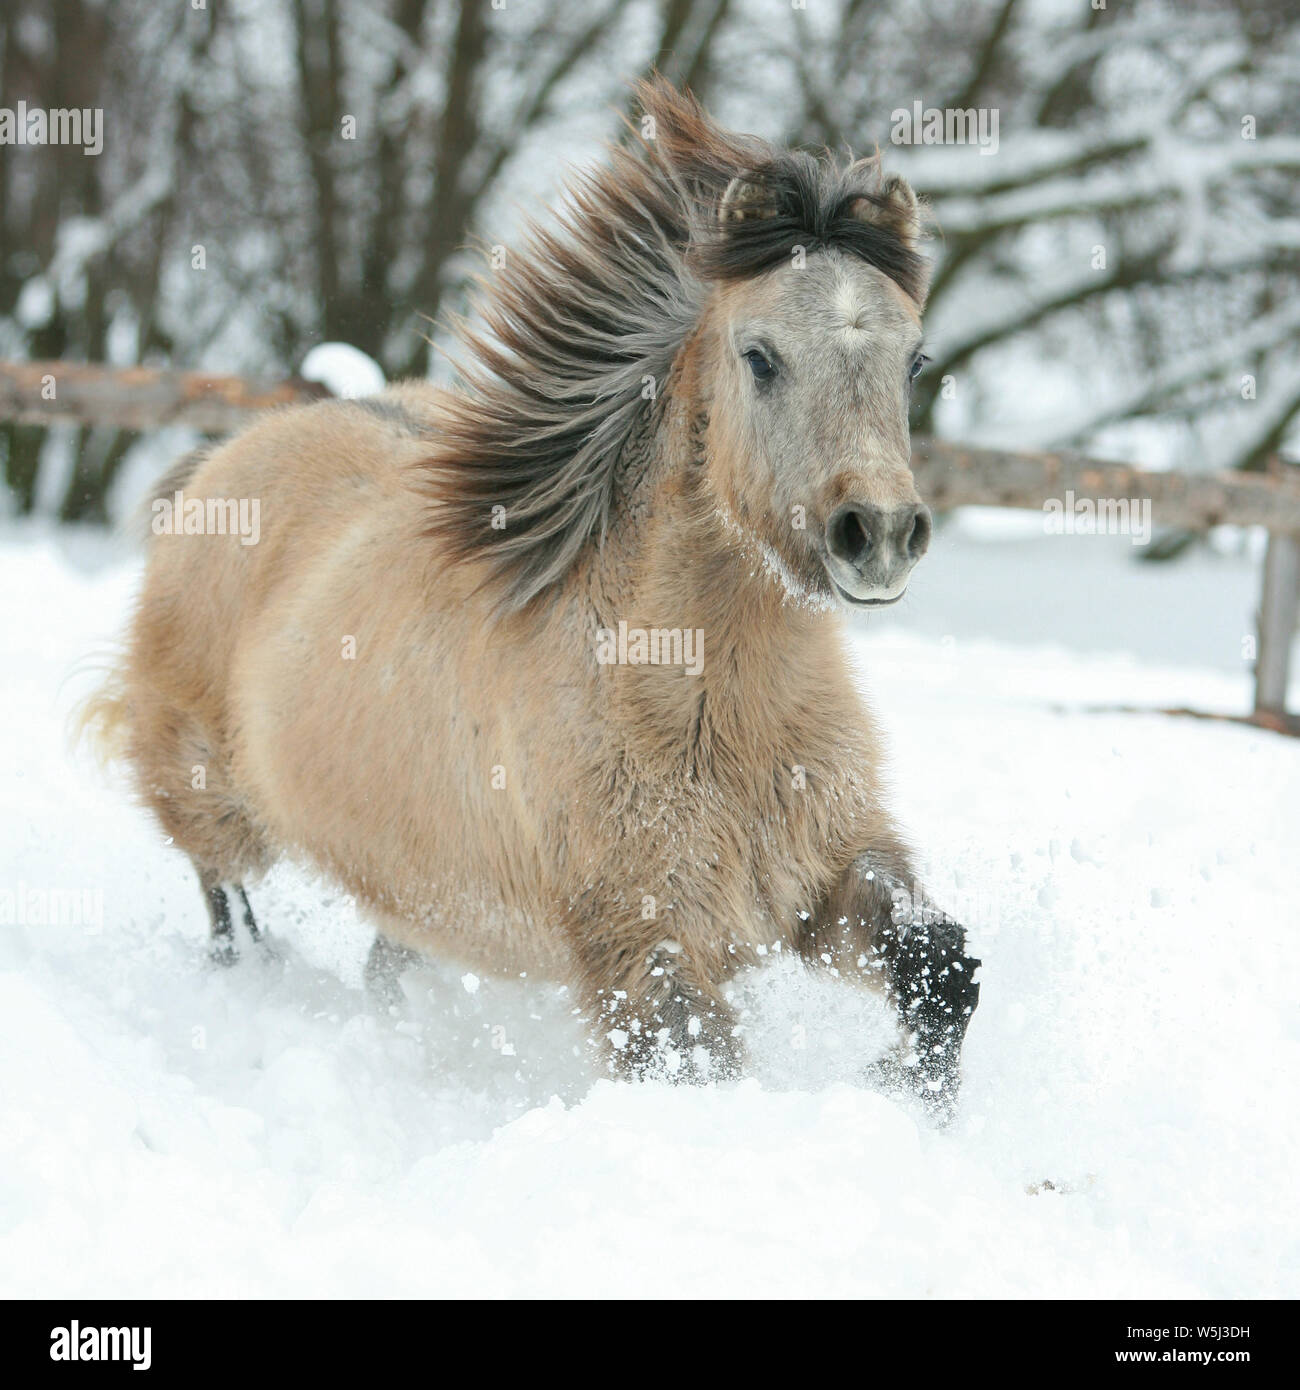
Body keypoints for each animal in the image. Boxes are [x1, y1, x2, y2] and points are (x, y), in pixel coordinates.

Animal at [81, 77, 980, 1113]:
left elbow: (943, 970)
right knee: (227, 904)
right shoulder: (642, 942)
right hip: (211, 798)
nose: (880, 534)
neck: (702, 701)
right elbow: (703, 1060)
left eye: (914, 361)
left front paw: (908, 1093)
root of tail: (224, 460)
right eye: (759, 356)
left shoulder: (827, 870)